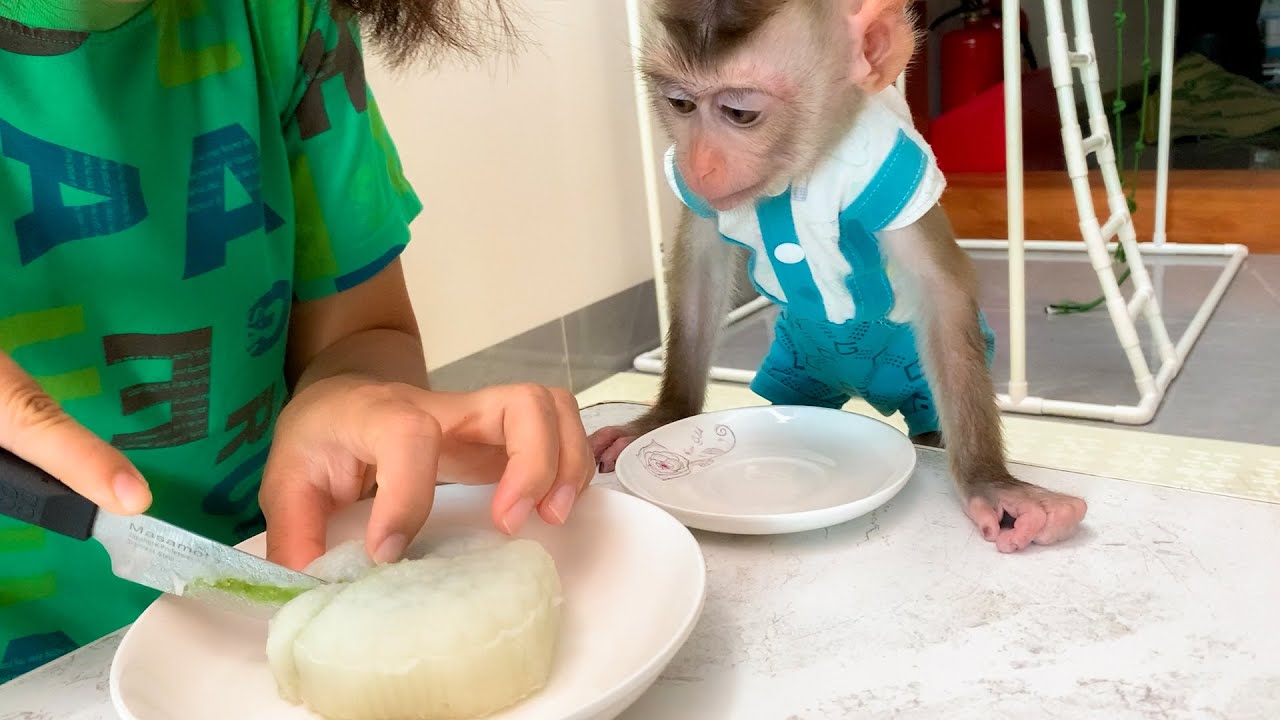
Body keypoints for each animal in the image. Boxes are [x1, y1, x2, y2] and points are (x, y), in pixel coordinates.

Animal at [589, 0, 1088, 553]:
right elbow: (700, 265)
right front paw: (665, 415)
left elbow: (939, 289)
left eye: (740, 113)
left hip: (914, 377)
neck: (799, 170)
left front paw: (990, 482)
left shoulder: (892, 168)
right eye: (680, 104)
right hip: (795, 370)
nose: (699, 164)